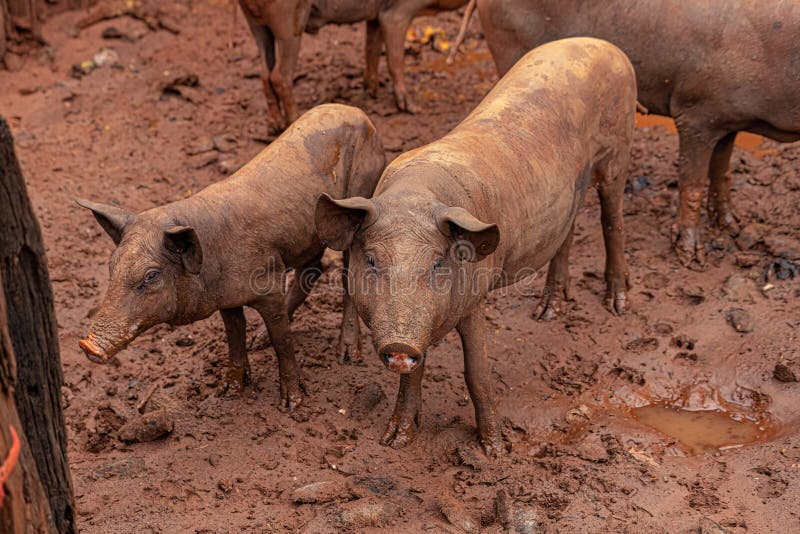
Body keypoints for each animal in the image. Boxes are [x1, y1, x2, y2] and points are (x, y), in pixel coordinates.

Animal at [77, 104, 385, 410]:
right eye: (111, 266)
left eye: (151, 275)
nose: (87, 346)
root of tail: (360, 114)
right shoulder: (225, 297)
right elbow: (234, 333)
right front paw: (229, 390)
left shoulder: (269, 283)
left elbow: (282, 340)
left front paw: (291, 403)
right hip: (305, 237)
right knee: (314, 269)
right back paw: (259, 340)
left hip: (357, 200)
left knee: (346, 275)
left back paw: (347, 355)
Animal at [238, 0, 469, 131]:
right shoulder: (396, 15)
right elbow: (395, 60)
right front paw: (412, 108)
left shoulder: (376, 17)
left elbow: (372, 49)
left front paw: (372, 91)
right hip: (288, 25)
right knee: (279, 75)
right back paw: (293, 120)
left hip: (255, 23)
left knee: (264, 74)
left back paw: (274, 126)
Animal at [315, 38, 636, 455]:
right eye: (370, 260)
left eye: (438, 263)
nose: (400, 344)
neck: (417, 194)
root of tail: (606, 46)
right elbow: (414, 374)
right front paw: (395, 441)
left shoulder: (475, 298)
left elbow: (476, 373)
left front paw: (495, 451)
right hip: (569, 192)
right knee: (566, 233)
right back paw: (546, 313)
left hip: (619, 149)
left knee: (612, 218)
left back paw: (617, 305)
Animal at [475, 0, 800, 268]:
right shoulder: (694, 112)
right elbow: (692, 183)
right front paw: (690, 257)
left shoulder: (726, 120)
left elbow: (721, 168)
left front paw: (732, 224)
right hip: (507, 48)